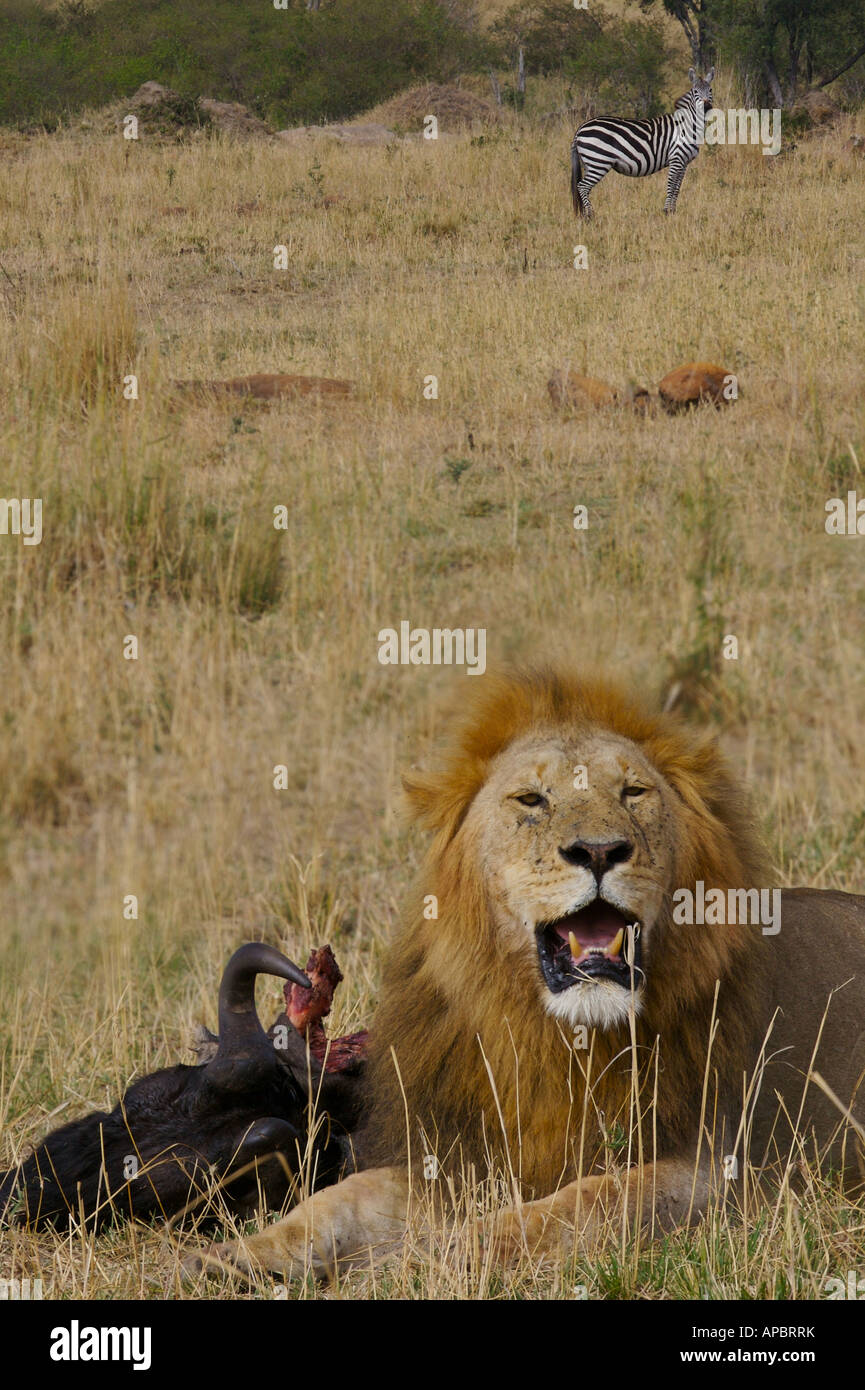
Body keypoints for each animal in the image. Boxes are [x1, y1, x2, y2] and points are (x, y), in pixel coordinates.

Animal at [186, 667, 865, 1279]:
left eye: (634, 793)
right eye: (532, 800)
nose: (599, 851)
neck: (558, 1033)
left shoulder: (722, 1168)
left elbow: (585, 1203)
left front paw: (444, 1251)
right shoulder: (459, 1153)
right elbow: (340, 1199)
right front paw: (232, 1256)